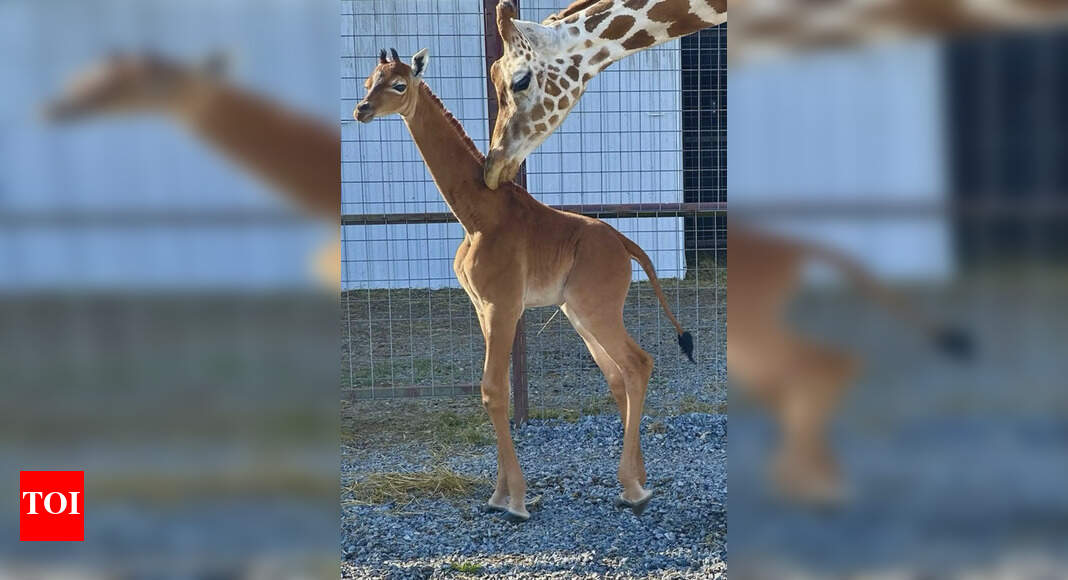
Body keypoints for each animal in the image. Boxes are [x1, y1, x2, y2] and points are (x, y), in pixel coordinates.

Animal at [355, 48, 694, 521]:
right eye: (369, 80)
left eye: (399, 84)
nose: (361, 110)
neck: (477, 216)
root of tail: (626, 245)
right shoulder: (483, 307)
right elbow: (495, 391)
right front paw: (499, 495)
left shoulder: (504, 305)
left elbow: (494, 390)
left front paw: (514, 500)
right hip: (578, 313)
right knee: (617, 374)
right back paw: (639, 480)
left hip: (597, 308)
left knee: (637, 364)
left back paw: (633, 488)